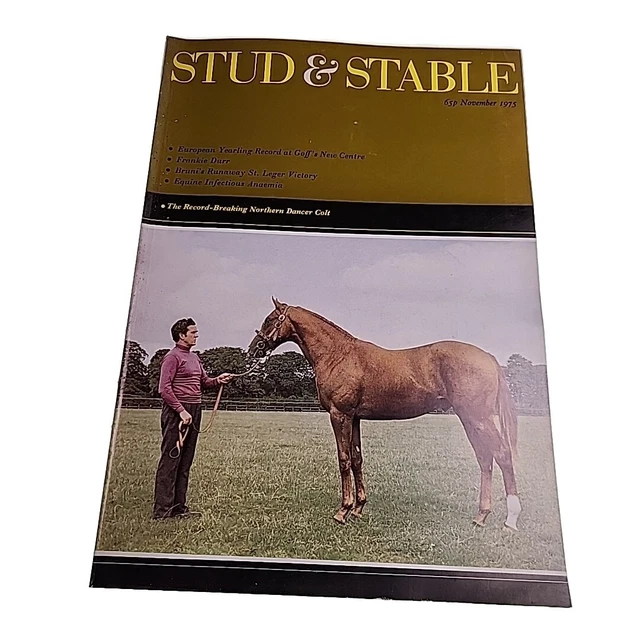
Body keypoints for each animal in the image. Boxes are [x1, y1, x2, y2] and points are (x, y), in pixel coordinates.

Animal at [247, 298, 522, 530]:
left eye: (270, 319)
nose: (253, 349)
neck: (338, 355)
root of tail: (488, 357)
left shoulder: (339, 415)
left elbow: (343, 459)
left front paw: (342, 511)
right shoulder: (354, 418)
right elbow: (357, 459)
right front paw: (358, 508)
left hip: (479, 418)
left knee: (502, 455)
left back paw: (510, 519)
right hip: (470, 419)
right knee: (485, 459)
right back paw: (481, 516)